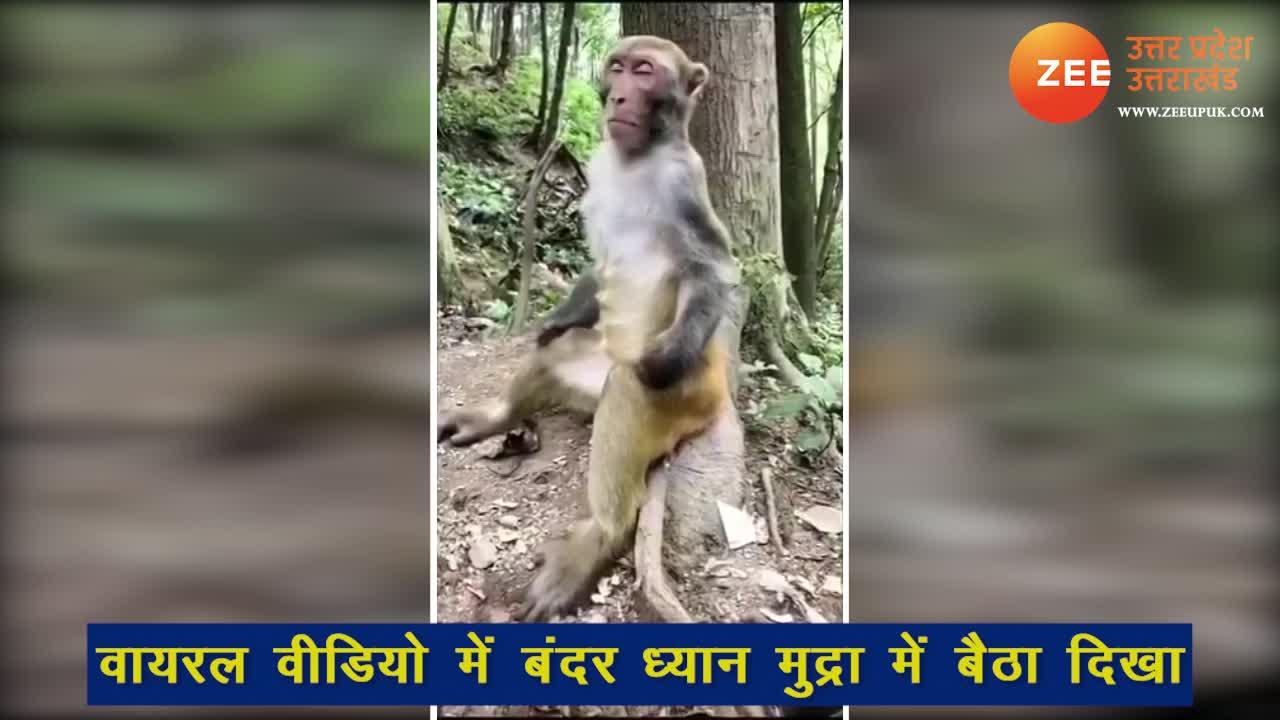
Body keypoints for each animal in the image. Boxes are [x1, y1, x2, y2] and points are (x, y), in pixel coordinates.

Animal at [438, 35, 737, 621]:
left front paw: (665, 358)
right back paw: (499, 416)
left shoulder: (684, 180)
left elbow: (711, 269)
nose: (618, 97)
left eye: (644, 72)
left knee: (629, 389)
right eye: (616, 68)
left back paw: (600, 535)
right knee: (556, 354)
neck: (637, 159)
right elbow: (594, 271)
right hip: (590, 374)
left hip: (688, 395)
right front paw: (555, 318)